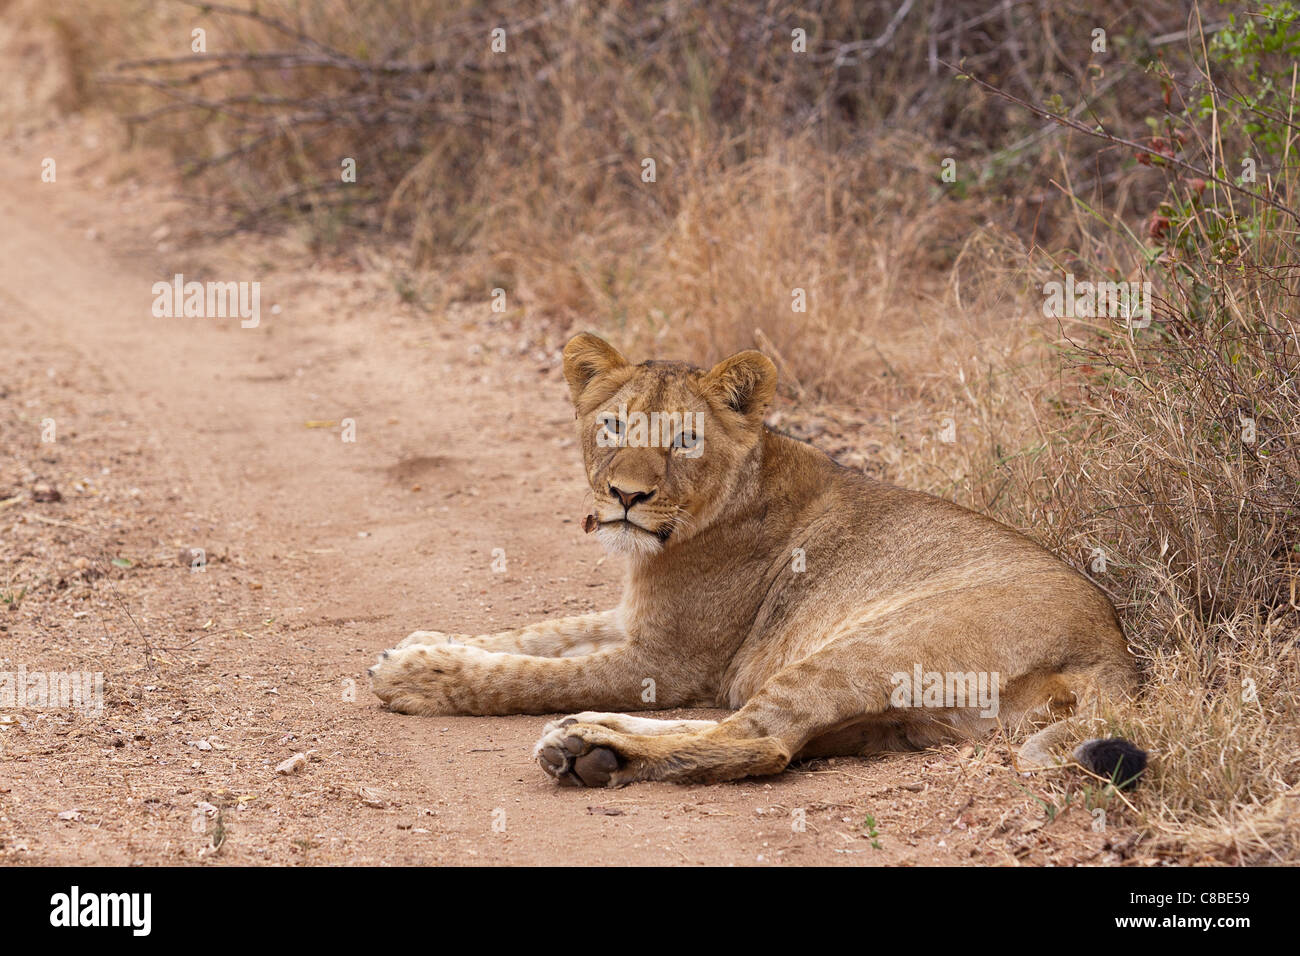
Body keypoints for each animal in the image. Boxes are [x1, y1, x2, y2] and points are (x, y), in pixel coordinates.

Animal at [369, 333, 1145, 788]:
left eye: (684, 440)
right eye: (612, 426)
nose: (625, 496)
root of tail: (1117, 656)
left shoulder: (668, 660)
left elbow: (532, 675)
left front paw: (417, 676)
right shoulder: (633, 619)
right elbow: (536, 634)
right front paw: (422, 642)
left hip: (868, 645)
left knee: (762, 742)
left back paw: (588, 749)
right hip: (898, 715)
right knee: (767, 734)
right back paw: (590, 739)